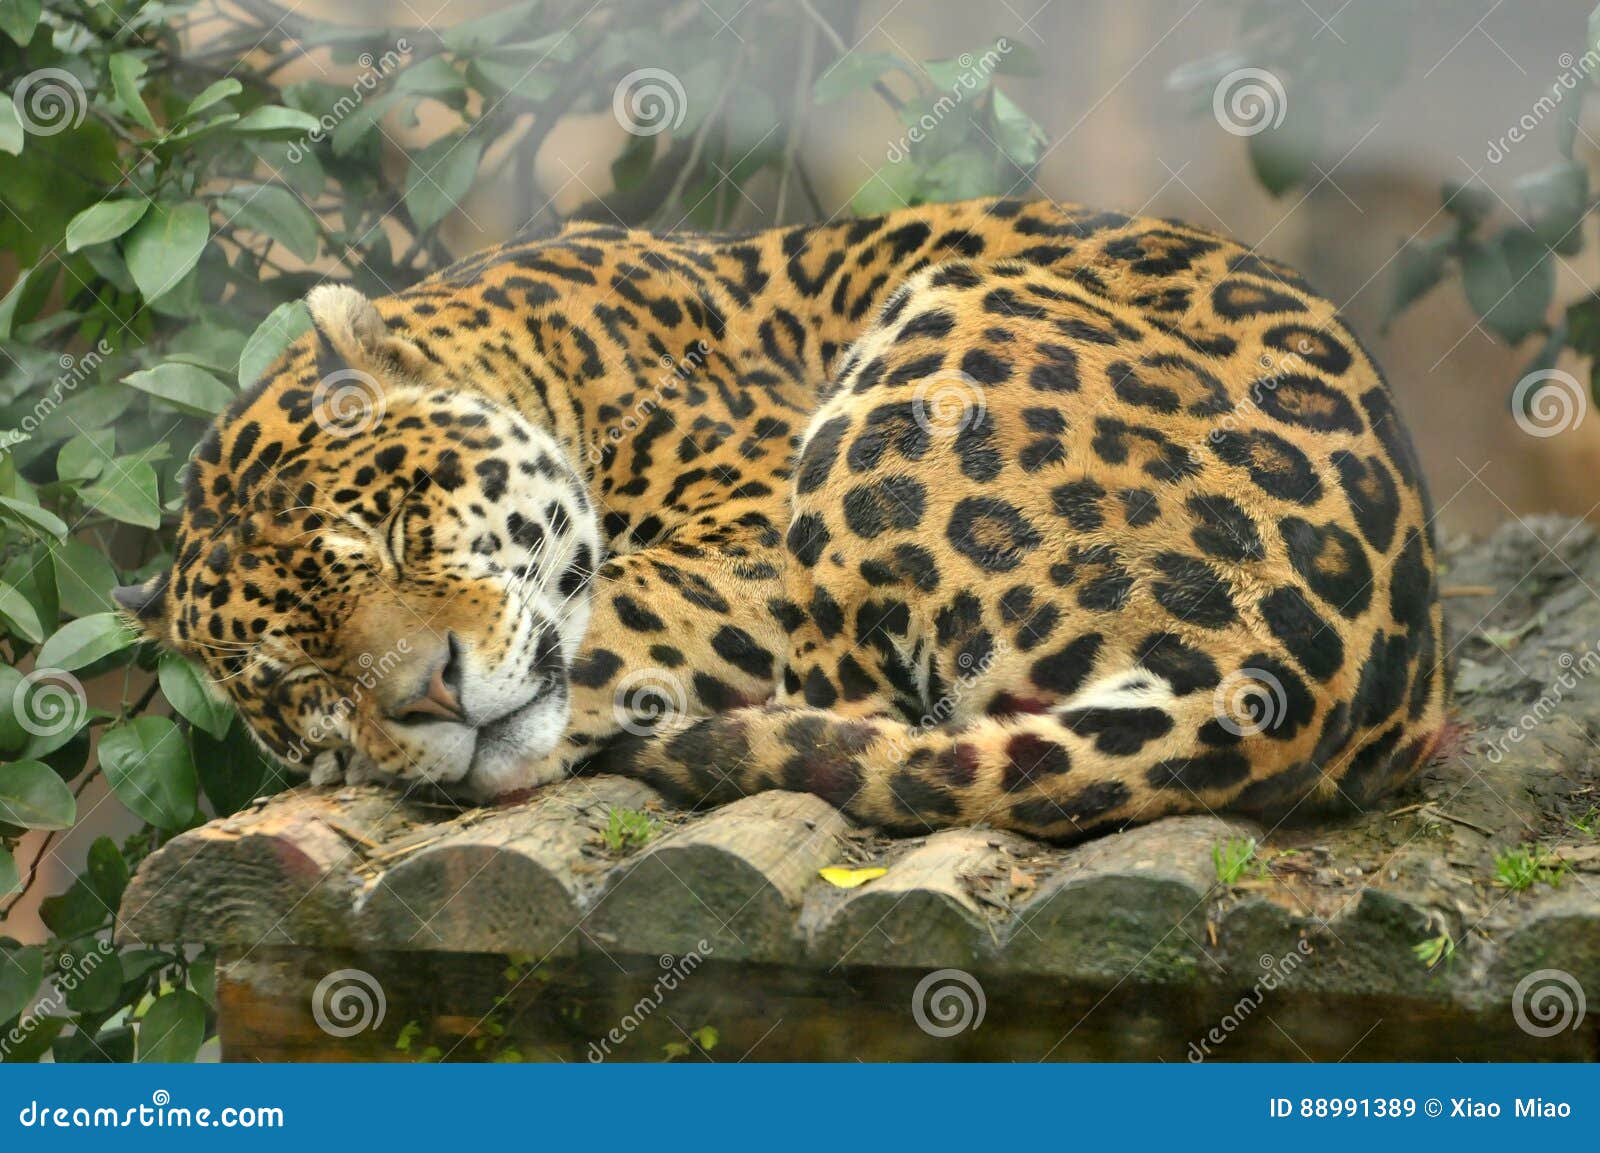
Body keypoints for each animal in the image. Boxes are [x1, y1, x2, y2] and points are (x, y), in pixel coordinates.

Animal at [114, 197, 1447, 841]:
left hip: (936, 342)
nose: (428, 697)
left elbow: (609, 613)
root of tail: (1298, 684)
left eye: (398, 526)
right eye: (297, 679)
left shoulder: (751, 523)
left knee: (852, 700)